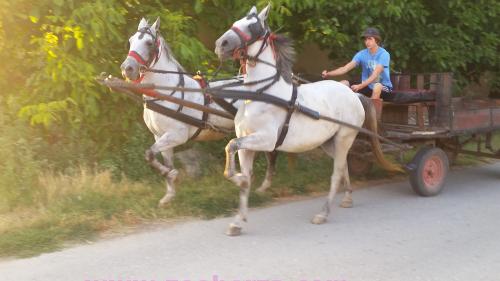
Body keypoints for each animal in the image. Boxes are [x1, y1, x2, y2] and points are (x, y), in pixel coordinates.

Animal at [119, 17, 280, 206]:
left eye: (149, 43)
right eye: (131, 40)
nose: (127, 68)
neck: (168, 92)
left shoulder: (176, 135)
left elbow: (150, 155)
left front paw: (172, 176)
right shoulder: (160, 136)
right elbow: (163, 161)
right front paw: (169, 195)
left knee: (272, 153)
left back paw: (263, 186)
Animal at [215, 5, 402, 235]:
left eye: (252, 26)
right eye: (237, 21)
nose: (221, 44)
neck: (261, 94)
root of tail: (354, 94)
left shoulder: (266, 140)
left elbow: (231, 147)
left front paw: (237, 180)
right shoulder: (247, 145)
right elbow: (243, 173)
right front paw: (237, 221)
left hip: (344, 138)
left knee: (336, 173)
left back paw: (323, 214)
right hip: (328, 143)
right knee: (343, 167)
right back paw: (347, 198)